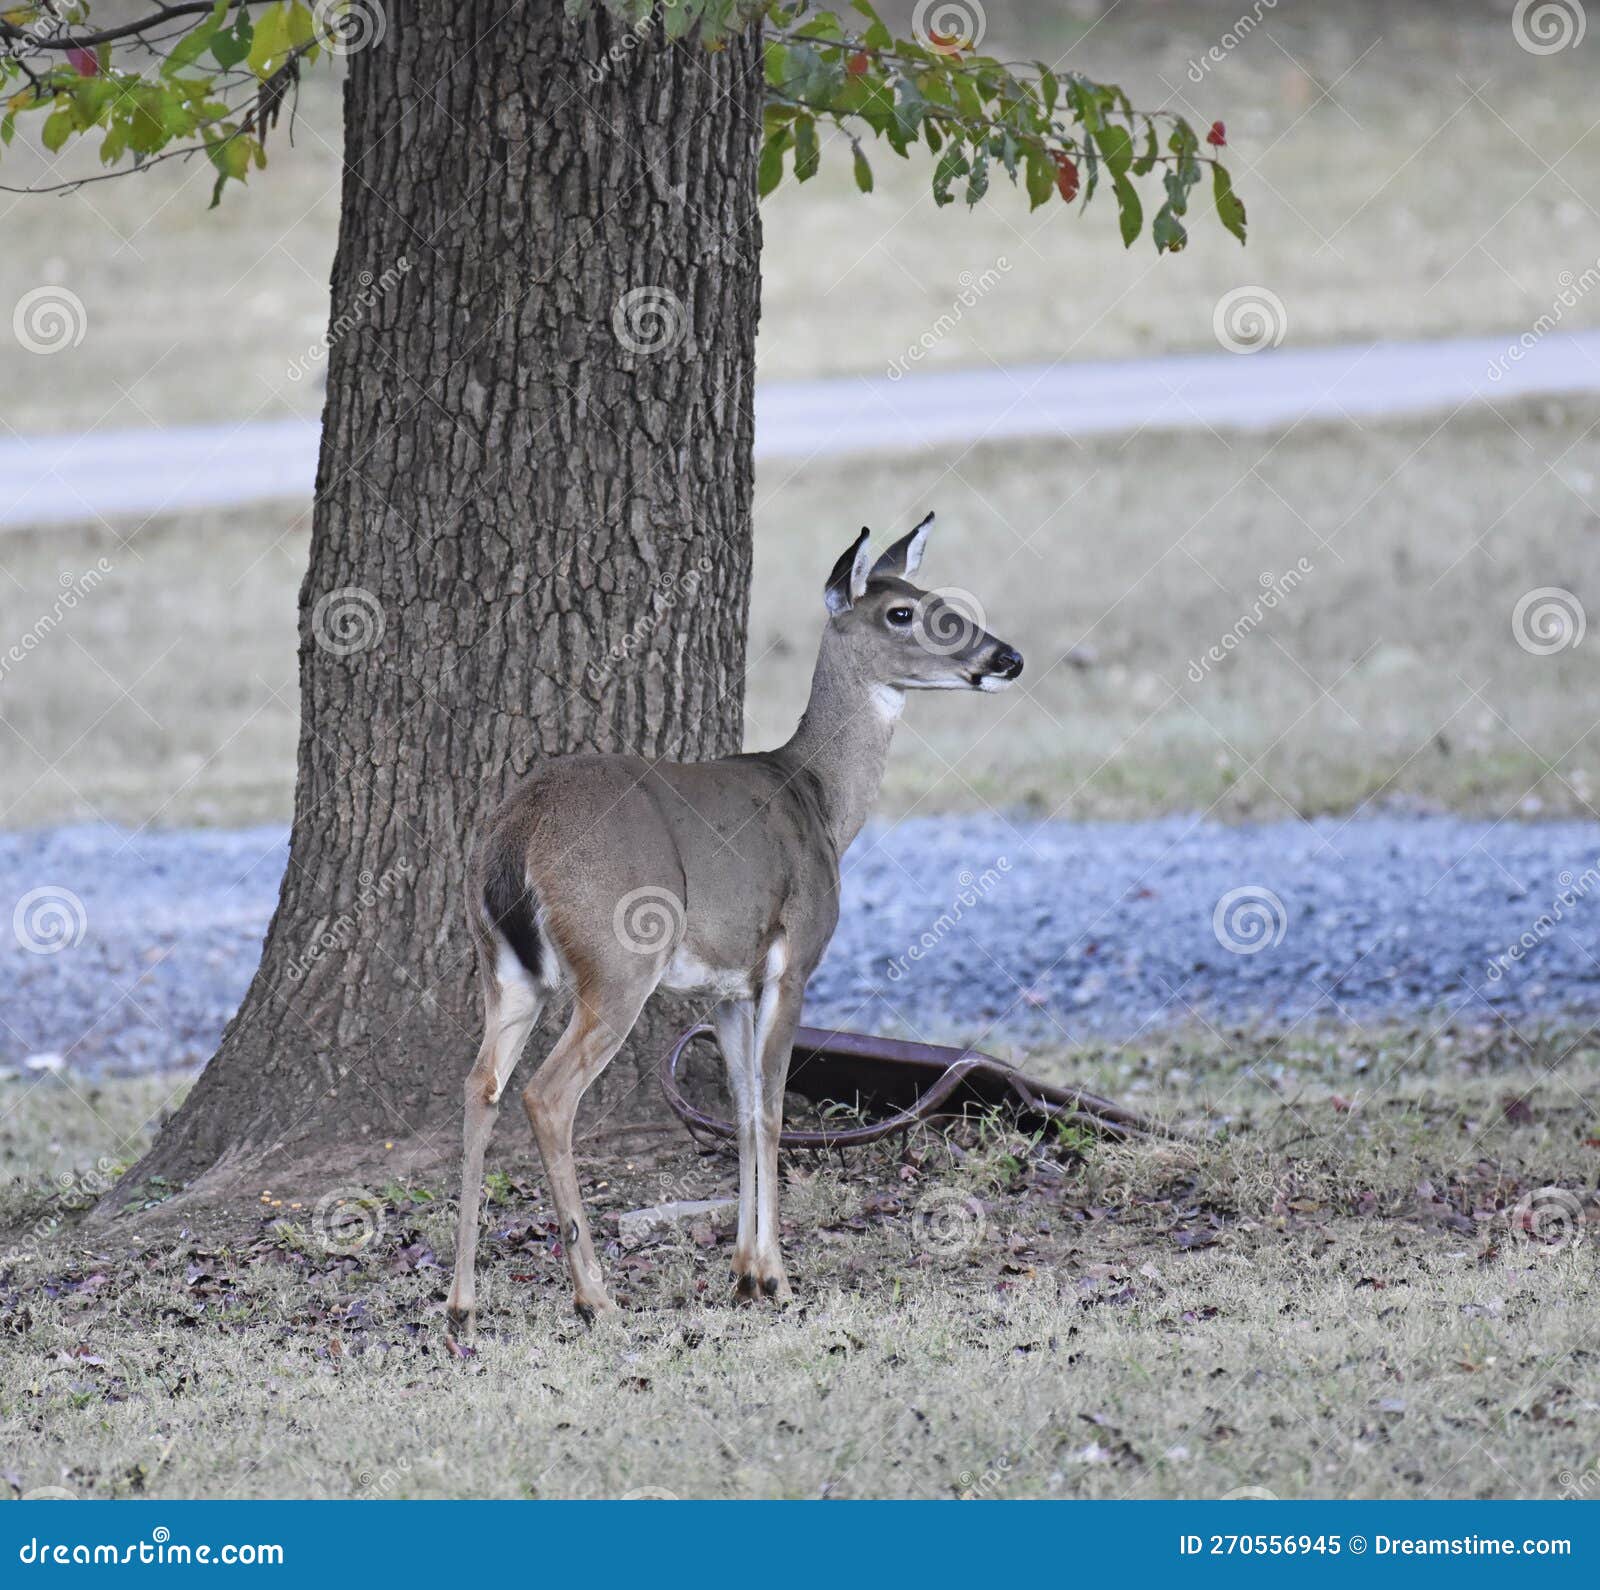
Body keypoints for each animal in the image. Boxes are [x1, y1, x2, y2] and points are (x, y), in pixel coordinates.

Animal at [446, 515, 1023, 1330]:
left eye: (936, 597)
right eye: (903, 612)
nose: (1007, 658)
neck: (820, 801)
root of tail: (514, 834)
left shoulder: (726, 985)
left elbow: (746, 1109)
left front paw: (744, 1272)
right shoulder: (794, 957)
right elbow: (774, 1111)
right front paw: (775, 1276)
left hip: (502, 964)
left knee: (482, 1084)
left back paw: (462, 1302)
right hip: (618, 960)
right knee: (547, 1095)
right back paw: (596, 1296)